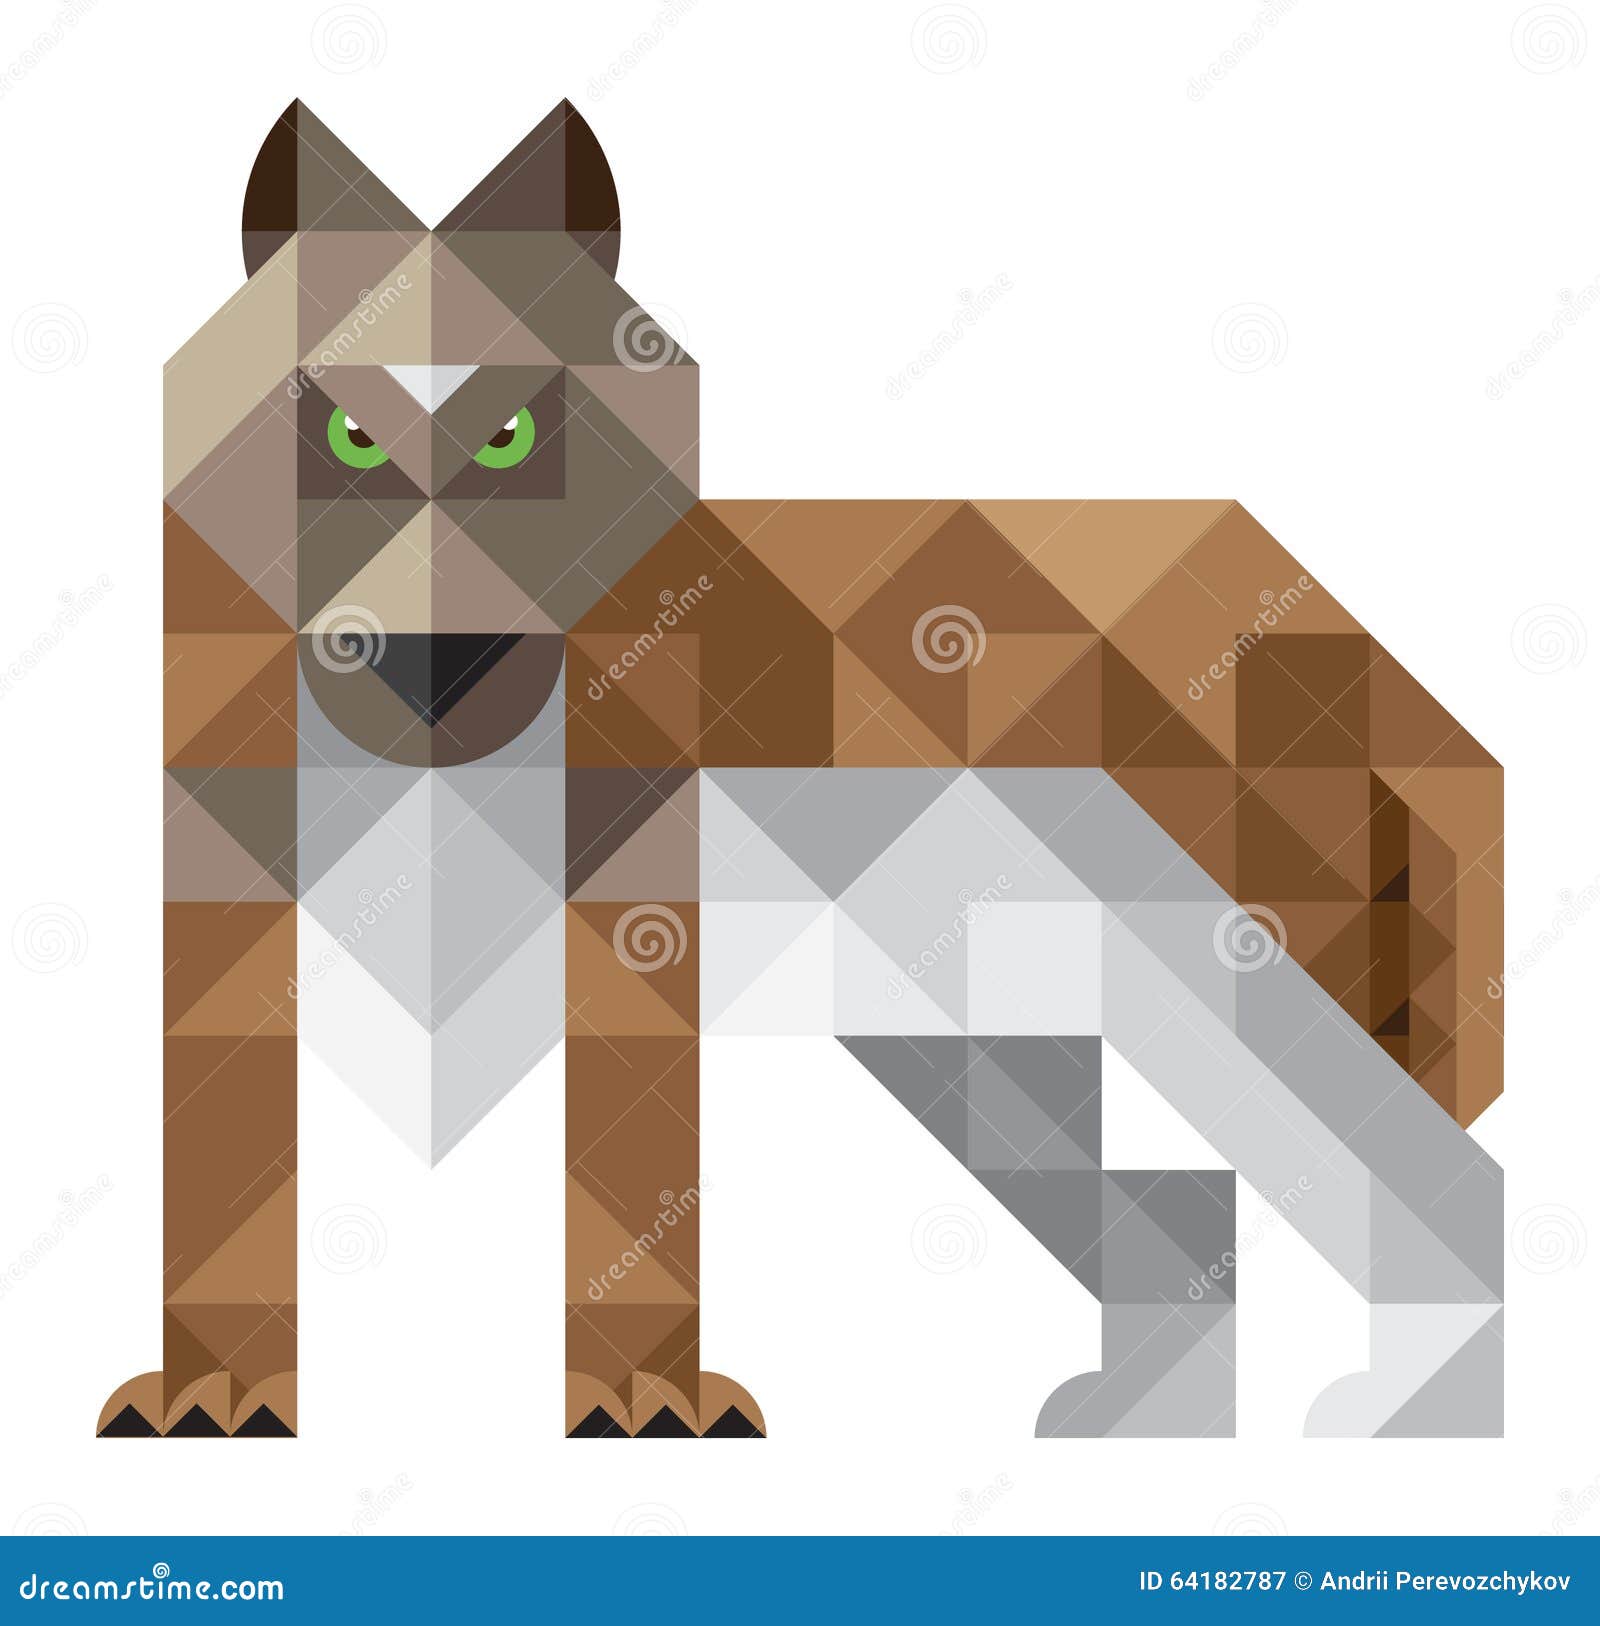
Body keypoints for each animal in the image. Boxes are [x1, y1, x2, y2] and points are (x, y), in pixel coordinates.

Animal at [103, 101, 1503, 1439]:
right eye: (345, 432)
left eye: (510, 437)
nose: (428, 667)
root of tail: (1269, 577)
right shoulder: (222, 968)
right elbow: (218, 1213)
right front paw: (214, 1398)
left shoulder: (632, 963)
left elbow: (628, 1220)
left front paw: (642, 1403)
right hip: (976, 1041)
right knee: (1192, 1216)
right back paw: (1137, 1429)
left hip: (1216, 986)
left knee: (1434, 1192)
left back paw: (1412, 1415)